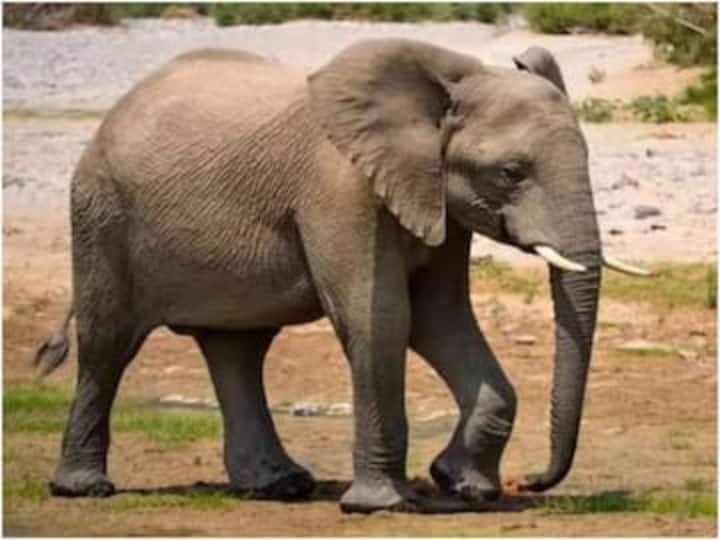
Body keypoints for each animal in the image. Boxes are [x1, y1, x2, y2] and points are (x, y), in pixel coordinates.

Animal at [35, 39, 648, 514]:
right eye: (511, 172)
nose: (534, 481)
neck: (448, 79)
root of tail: (114, 112)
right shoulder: (342, 188)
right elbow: (381, 319)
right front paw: (385, 505)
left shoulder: (436, 198)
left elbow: (441, 320)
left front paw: (464, 487)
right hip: (102, 212)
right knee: (108, 345)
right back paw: (83, 490)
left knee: (237, 350)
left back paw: (280, 486)